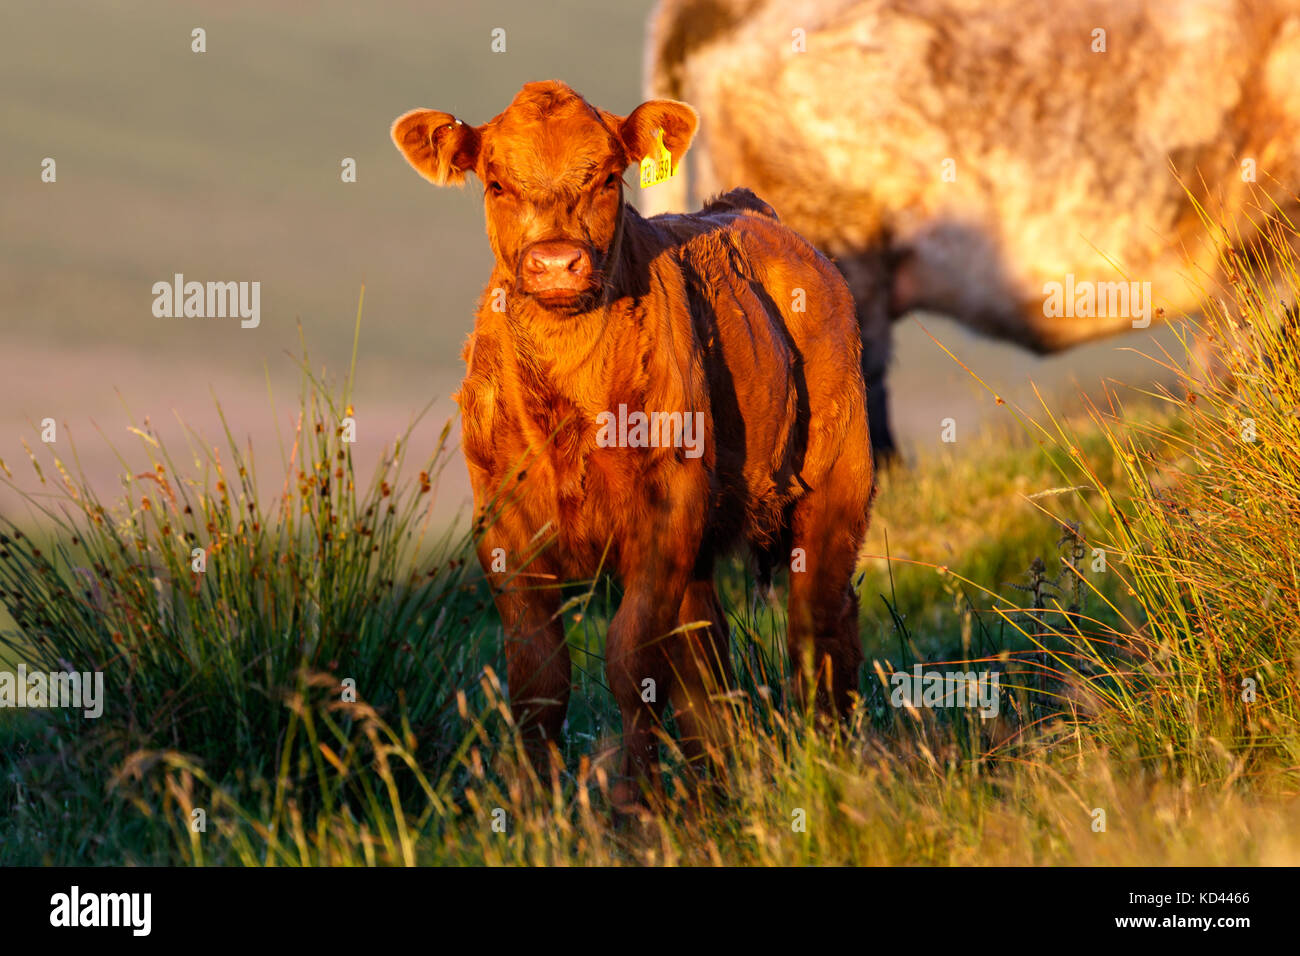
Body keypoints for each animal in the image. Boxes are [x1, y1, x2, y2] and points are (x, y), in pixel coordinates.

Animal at [391, 81, 872, 807]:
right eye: (496, 182)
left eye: (610, 177)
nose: (556, 263)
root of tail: (747, 210)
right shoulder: (503, 524)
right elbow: (539, 677)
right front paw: (536, 805)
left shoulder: (663, 513)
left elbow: (632, 662)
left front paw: (633, 807)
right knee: (706, 654)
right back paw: (713, 785)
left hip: (836, 483)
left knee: (819, 618)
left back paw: (832, 759)